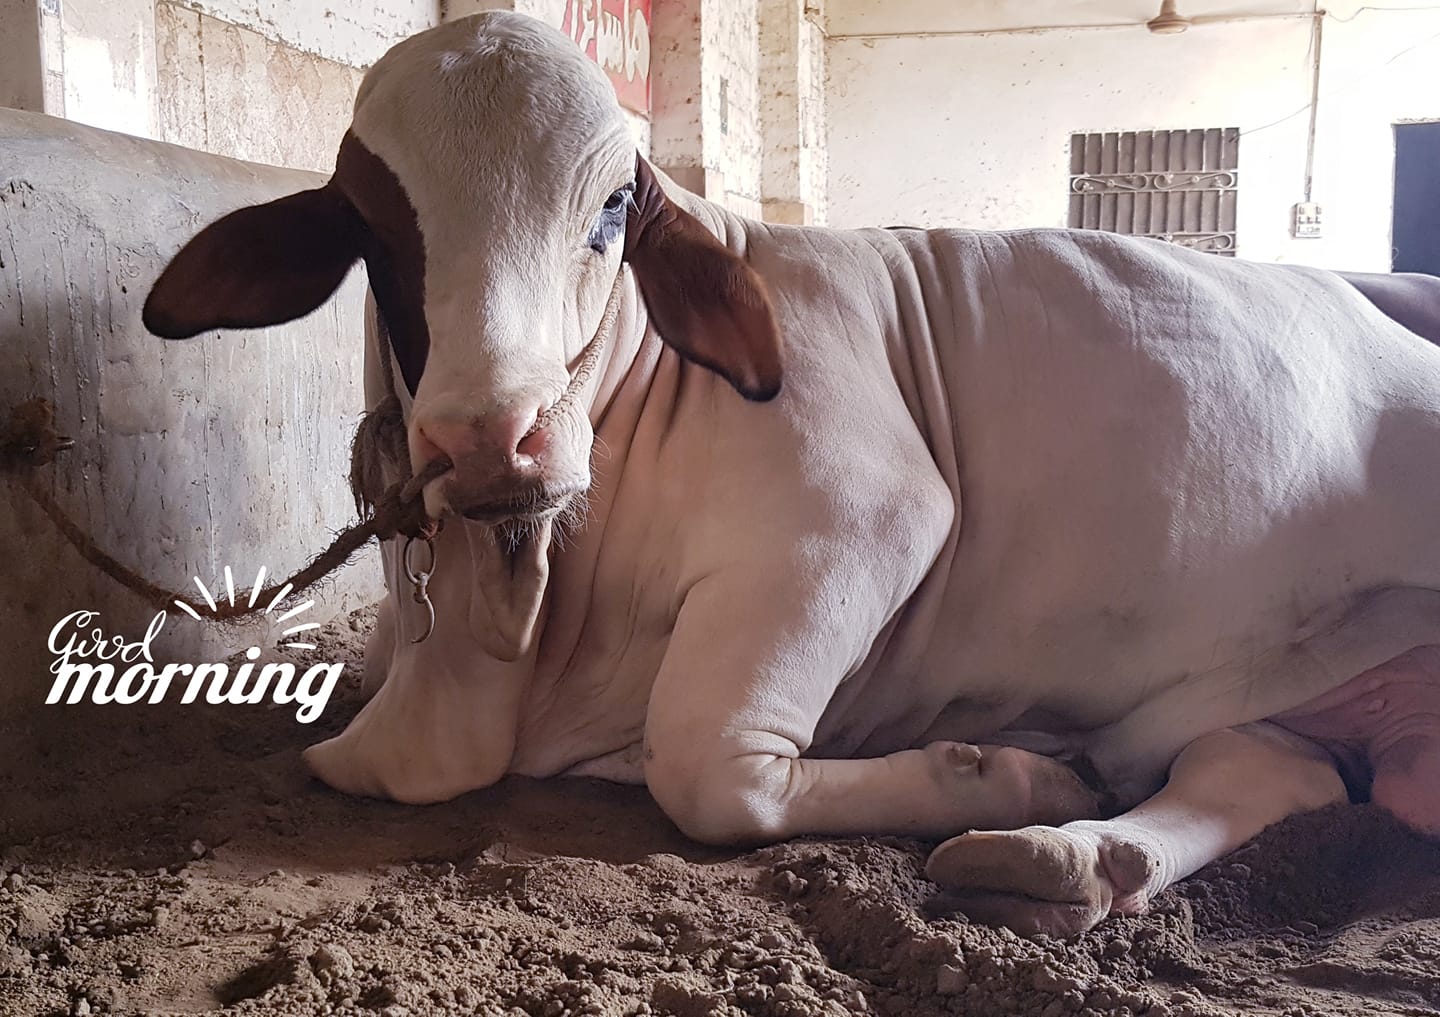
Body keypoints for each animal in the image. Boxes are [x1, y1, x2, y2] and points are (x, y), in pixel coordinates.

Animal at [143, 11, 1440, 937]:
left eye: (614, 204)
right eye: (373, 228)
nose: (490, 440)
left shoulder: (861, 522)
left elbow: (710, 770)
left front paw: (1004, 773)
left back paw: (1035, 827)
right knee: (1268, 764)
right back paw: (1062, 862)